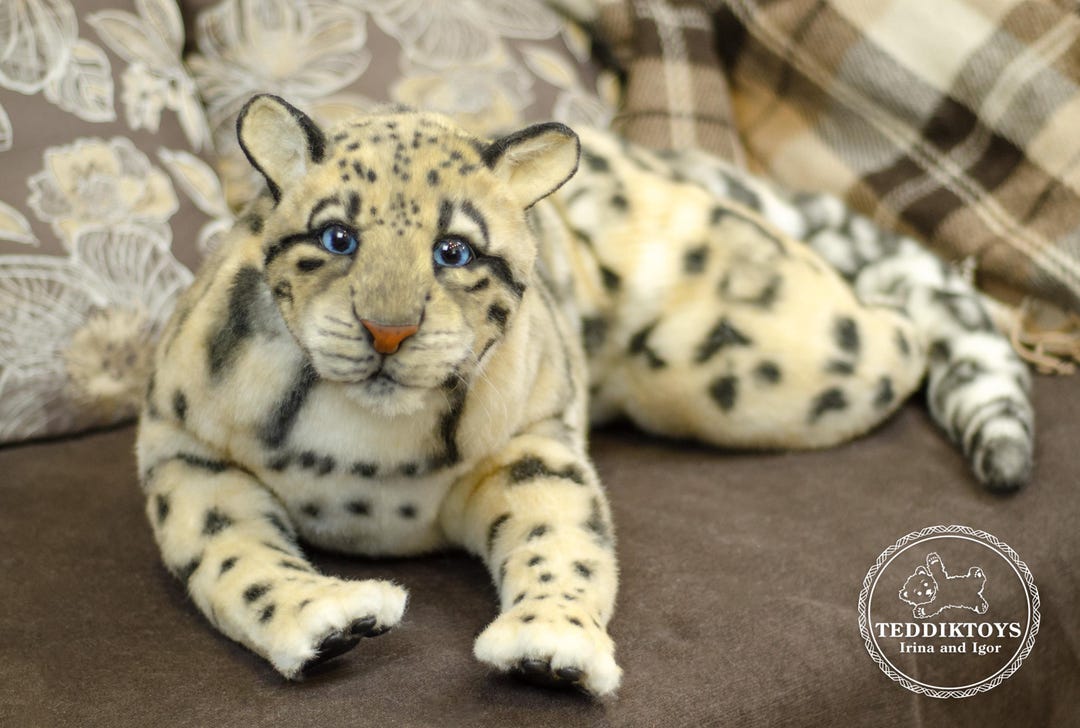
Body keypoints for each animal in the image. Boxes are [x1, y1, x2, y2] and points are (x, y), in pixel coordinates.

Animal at [136, 94, 1034, 697]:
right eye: (336, 237)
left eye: (454, 250)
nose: (387, 331)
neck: (364, 449)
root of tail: (653, 158)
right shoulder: (187, 454)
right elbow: (232, 557)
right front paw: (326, 618)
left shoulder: (530, 447)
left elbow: (563, 542)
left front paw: (550, 646)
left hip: (777, 368)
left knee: (903, 324)